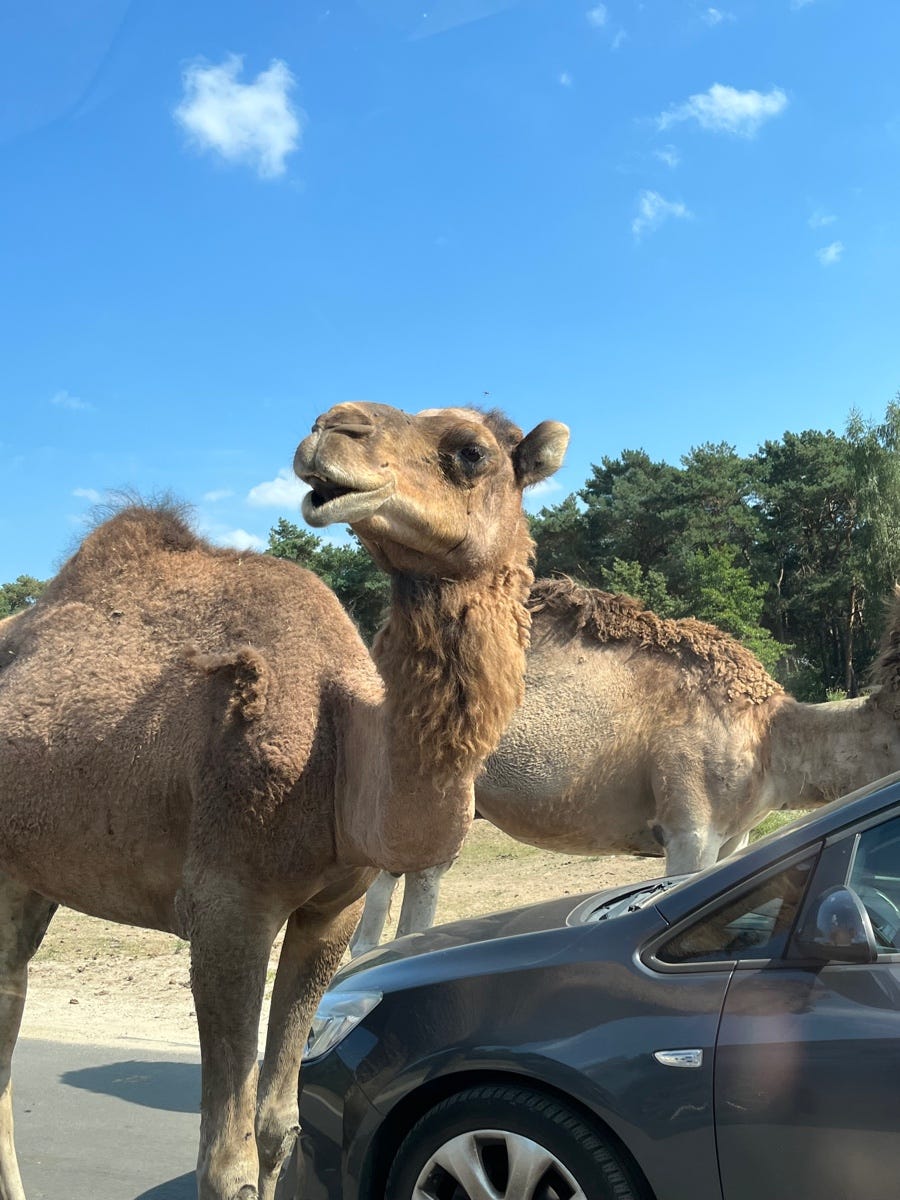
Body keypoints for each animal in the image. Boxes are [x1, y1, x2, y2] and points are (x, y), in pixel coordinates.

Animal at [0, 400, 568, 1200]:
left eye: (470, 452)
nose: (335, 427)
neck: (341, 751)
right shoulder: (227, 908)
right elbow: (226, 1160)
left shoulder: (333, 911)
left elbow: (278, 1125)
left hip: (27, 876)